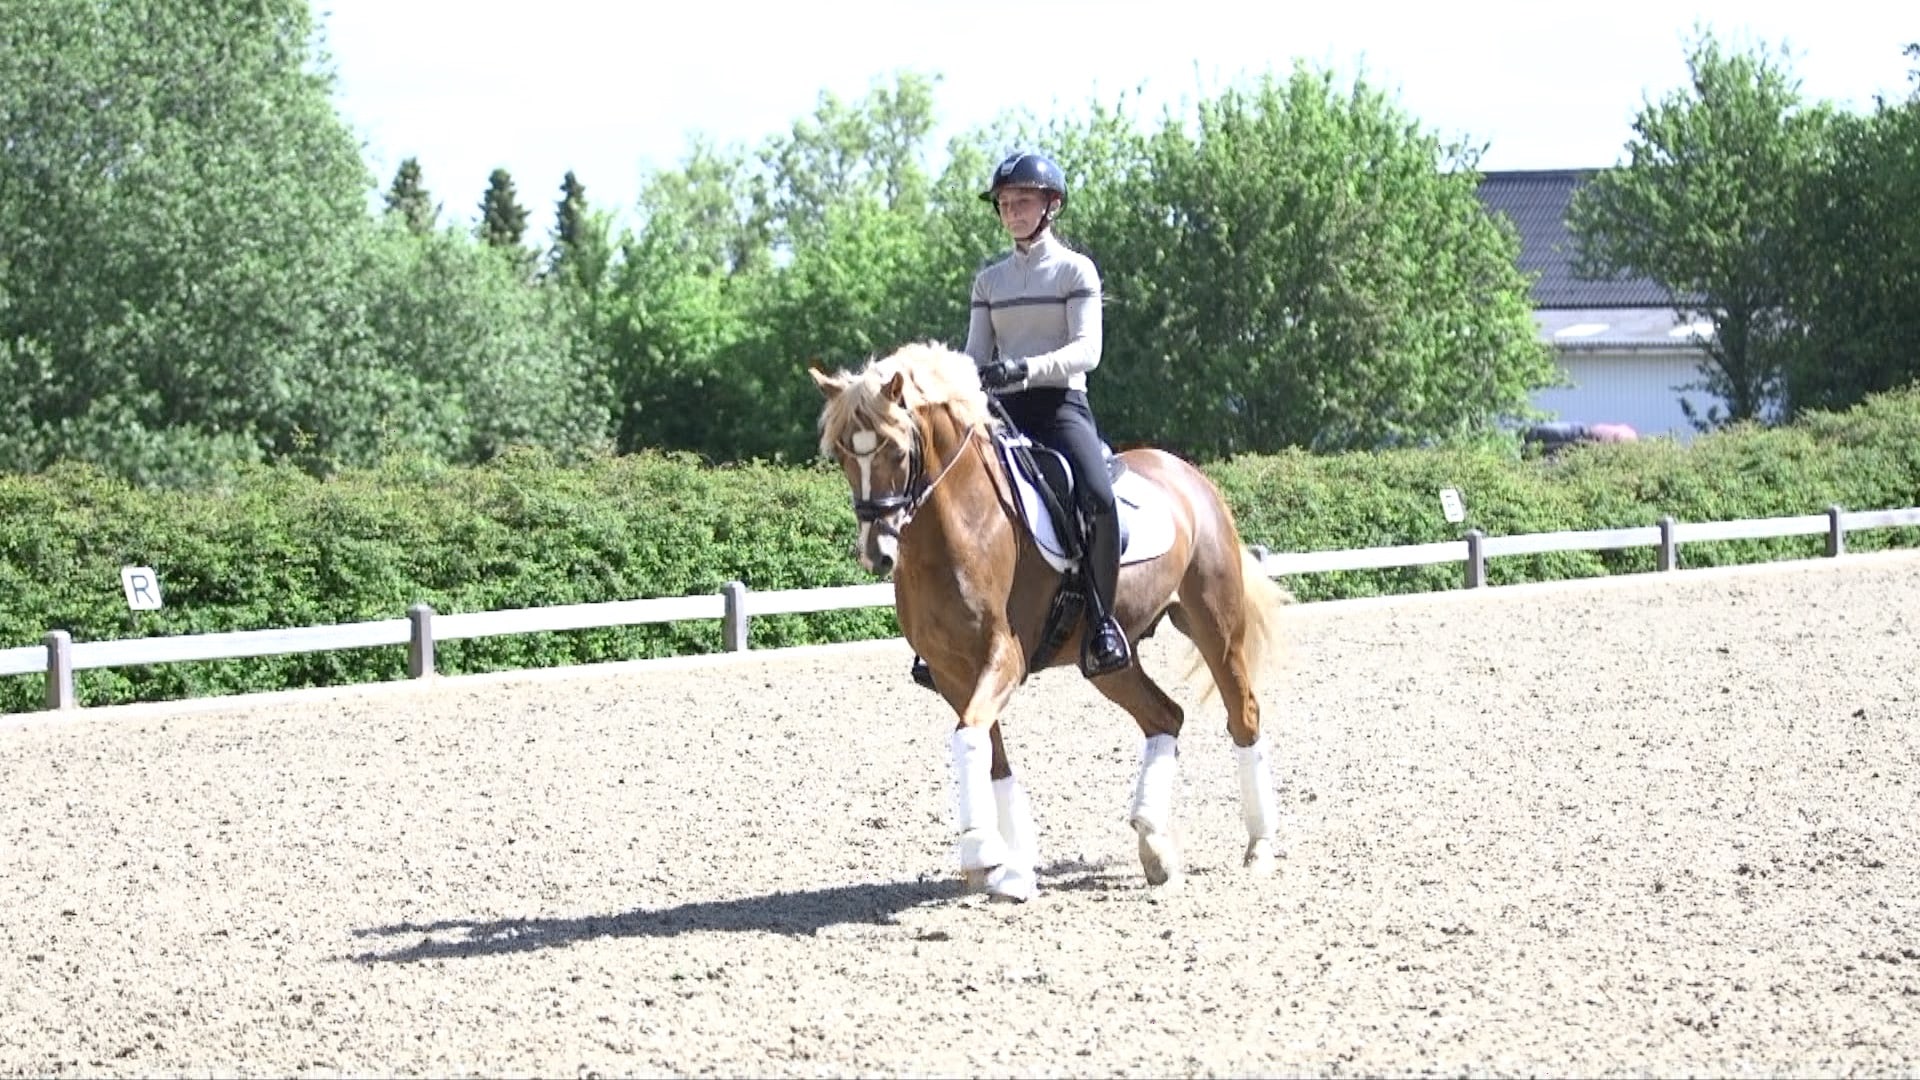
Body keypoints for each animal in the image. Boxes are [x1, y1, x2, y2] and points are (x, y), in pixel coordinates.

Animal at [810, 341, 1290, 901]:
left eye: (896, 450)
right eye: (844, 456)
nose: (876, 554)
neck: (959, 525)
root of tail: (1189, 475)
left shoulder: (1004, 657)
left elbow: (968, 737)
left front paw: (981, 853)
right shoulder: (952, 670)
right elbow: (988, 754)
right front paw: (1009, 868)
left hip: (1213, 625)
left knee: (1244, 715)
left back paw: (1259, 848)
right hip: (1109, 662)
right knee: (1166, 717)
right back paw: (1154, 847)